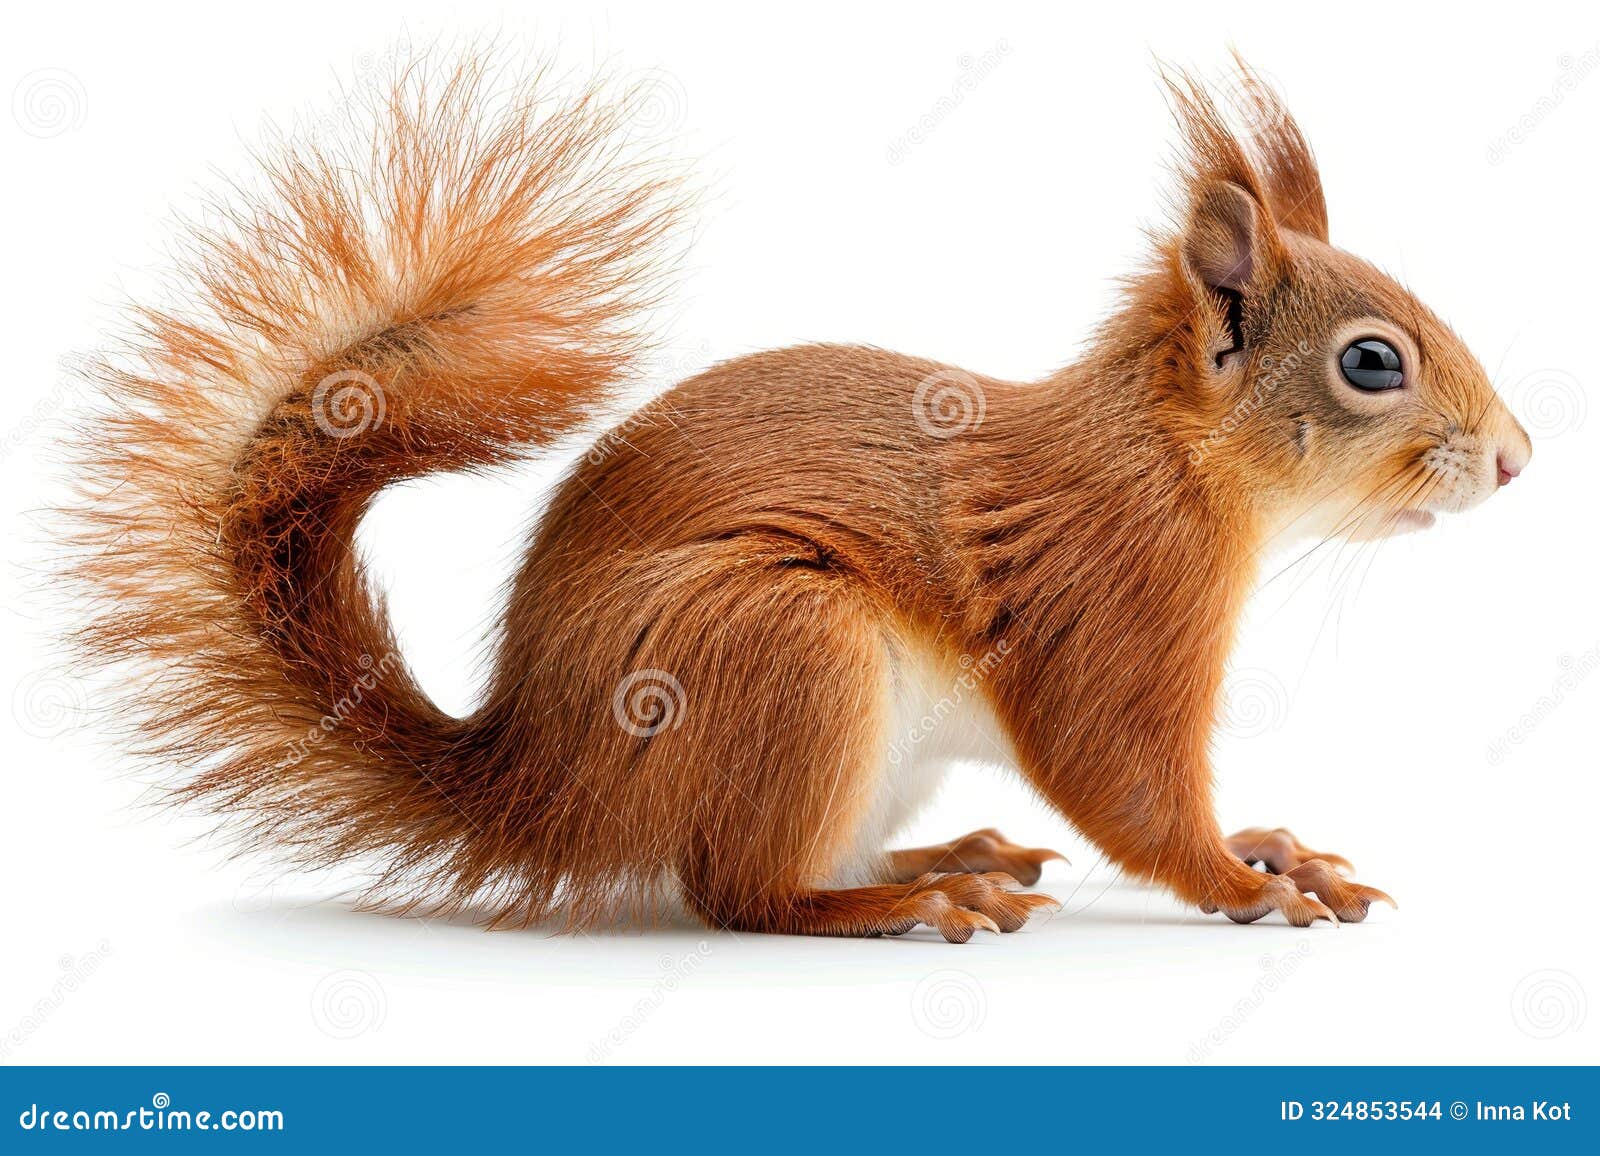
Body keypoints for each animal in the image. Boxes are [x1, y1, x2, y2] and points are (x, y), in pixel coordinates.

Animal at [65, 52, 1530, 942]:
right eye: (1372, 362)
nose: (1518, 458)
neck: (1173, 459)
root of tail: (545, 786)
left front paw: (1280, 849)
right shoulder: (1110, 602)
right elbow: (1122, 781)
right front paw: (1238, 878)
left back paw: (947, 861)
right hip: (785, 648)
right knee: (741, 892)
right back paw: (905, 910)